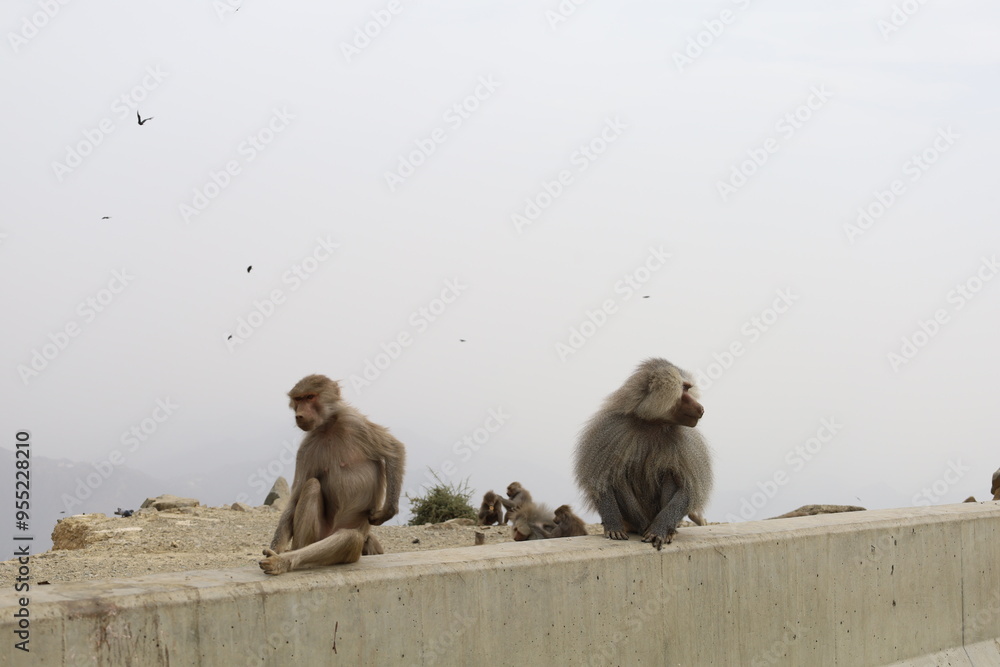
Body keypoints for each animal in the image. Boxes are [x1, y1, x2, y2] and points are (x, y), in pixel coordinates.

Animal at [259, 374, 406, 575]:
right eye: (298, 399)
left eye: (310, 397)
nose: (299, 415)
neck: (328, 426)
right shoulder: (306, 449)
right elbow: (295, 498)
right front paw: (276, 547)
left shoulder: (355, 422)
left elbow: (394, 450)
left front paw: (386, 512)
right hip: (316, 535)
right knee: (312, 486)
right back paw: (286, 556)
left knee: (350, 539)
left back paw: (282, 561)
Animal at [574, 358, 713, 551]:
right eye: (684, 388)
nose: (701, 408)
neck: (653, 423)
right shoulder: (610, 428)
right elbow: (601, 479)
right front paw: (613, 527)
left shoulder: (687, 440)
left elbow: (688, 488)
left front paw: (659, 531)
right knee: (618, 476)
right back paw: (641, 526)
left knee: (670, 474)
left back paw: (666, 532)